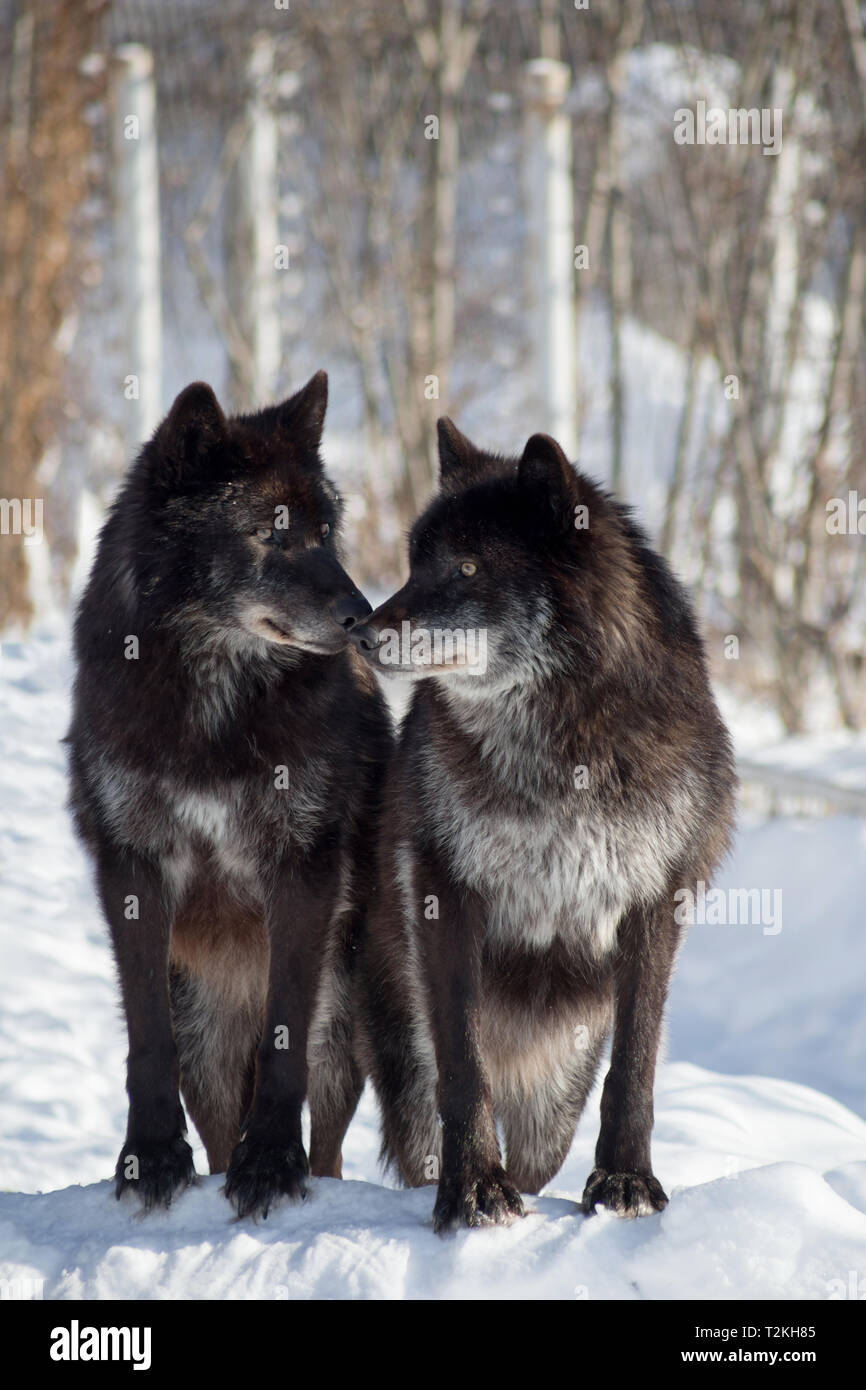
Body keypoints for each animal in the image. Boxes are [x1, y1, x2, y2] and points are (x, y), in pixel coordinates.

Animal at [67, 371, 390, 1217]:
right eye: (270, 534)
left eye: (325, 531)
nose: (364, 618)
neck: (214, 697)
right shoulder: (133, 866)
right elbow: (145, 1038)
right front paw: (148, 1159)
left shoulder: (302, 867)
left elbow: (284, 1045)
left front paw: (271, 1163)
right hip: (207, 1040)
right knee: (213, 1115)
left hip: (342, 1026)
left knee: (329, 1139)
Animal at [352, 418, 736, 1232]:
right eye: (414, 563)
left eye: (467, 566)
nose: (362, 633)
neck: (562, 752)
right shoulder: (445, 890)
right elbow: (464, 1063)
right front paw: (473, 1189)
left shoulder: (655, 902)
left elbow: (636, 1063)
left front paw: (625, 1181)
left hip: (558, 1083)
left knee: (542, 1145)